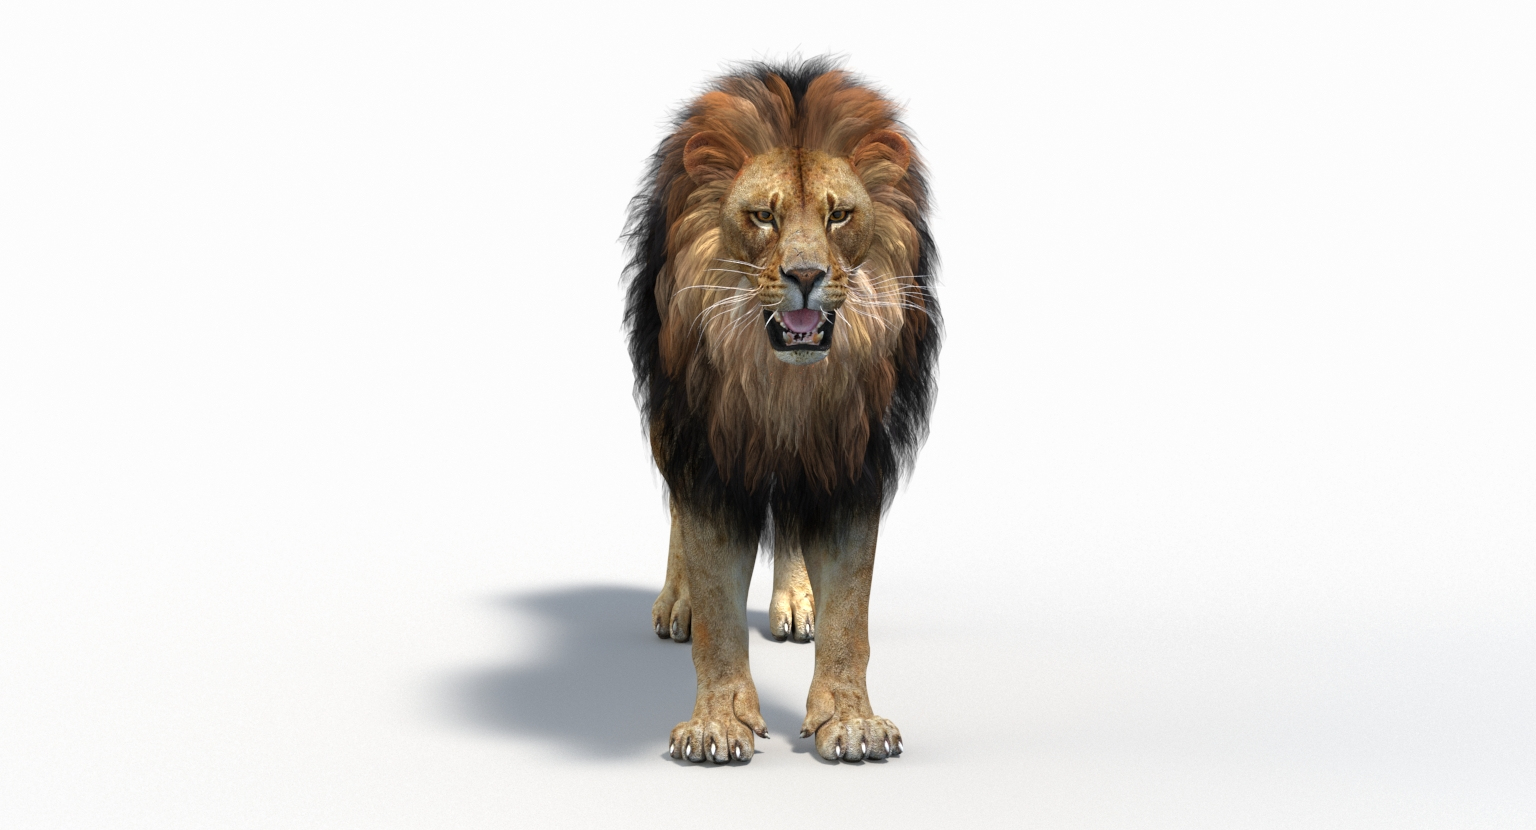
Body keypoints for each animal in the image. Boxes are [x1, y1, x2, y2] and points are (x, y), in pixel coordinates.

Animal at [622, 58, 940, 764]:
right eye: (763, 216)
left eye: (840, 215)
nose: (805, 276)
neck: (786, 389)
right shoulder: (709, 454)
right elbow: (717, 601)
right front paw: (716, 724)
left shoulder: (849, 458)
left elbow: (851, 608)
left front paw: (851, 721)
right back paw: (676, 602)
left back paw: (797, 601)